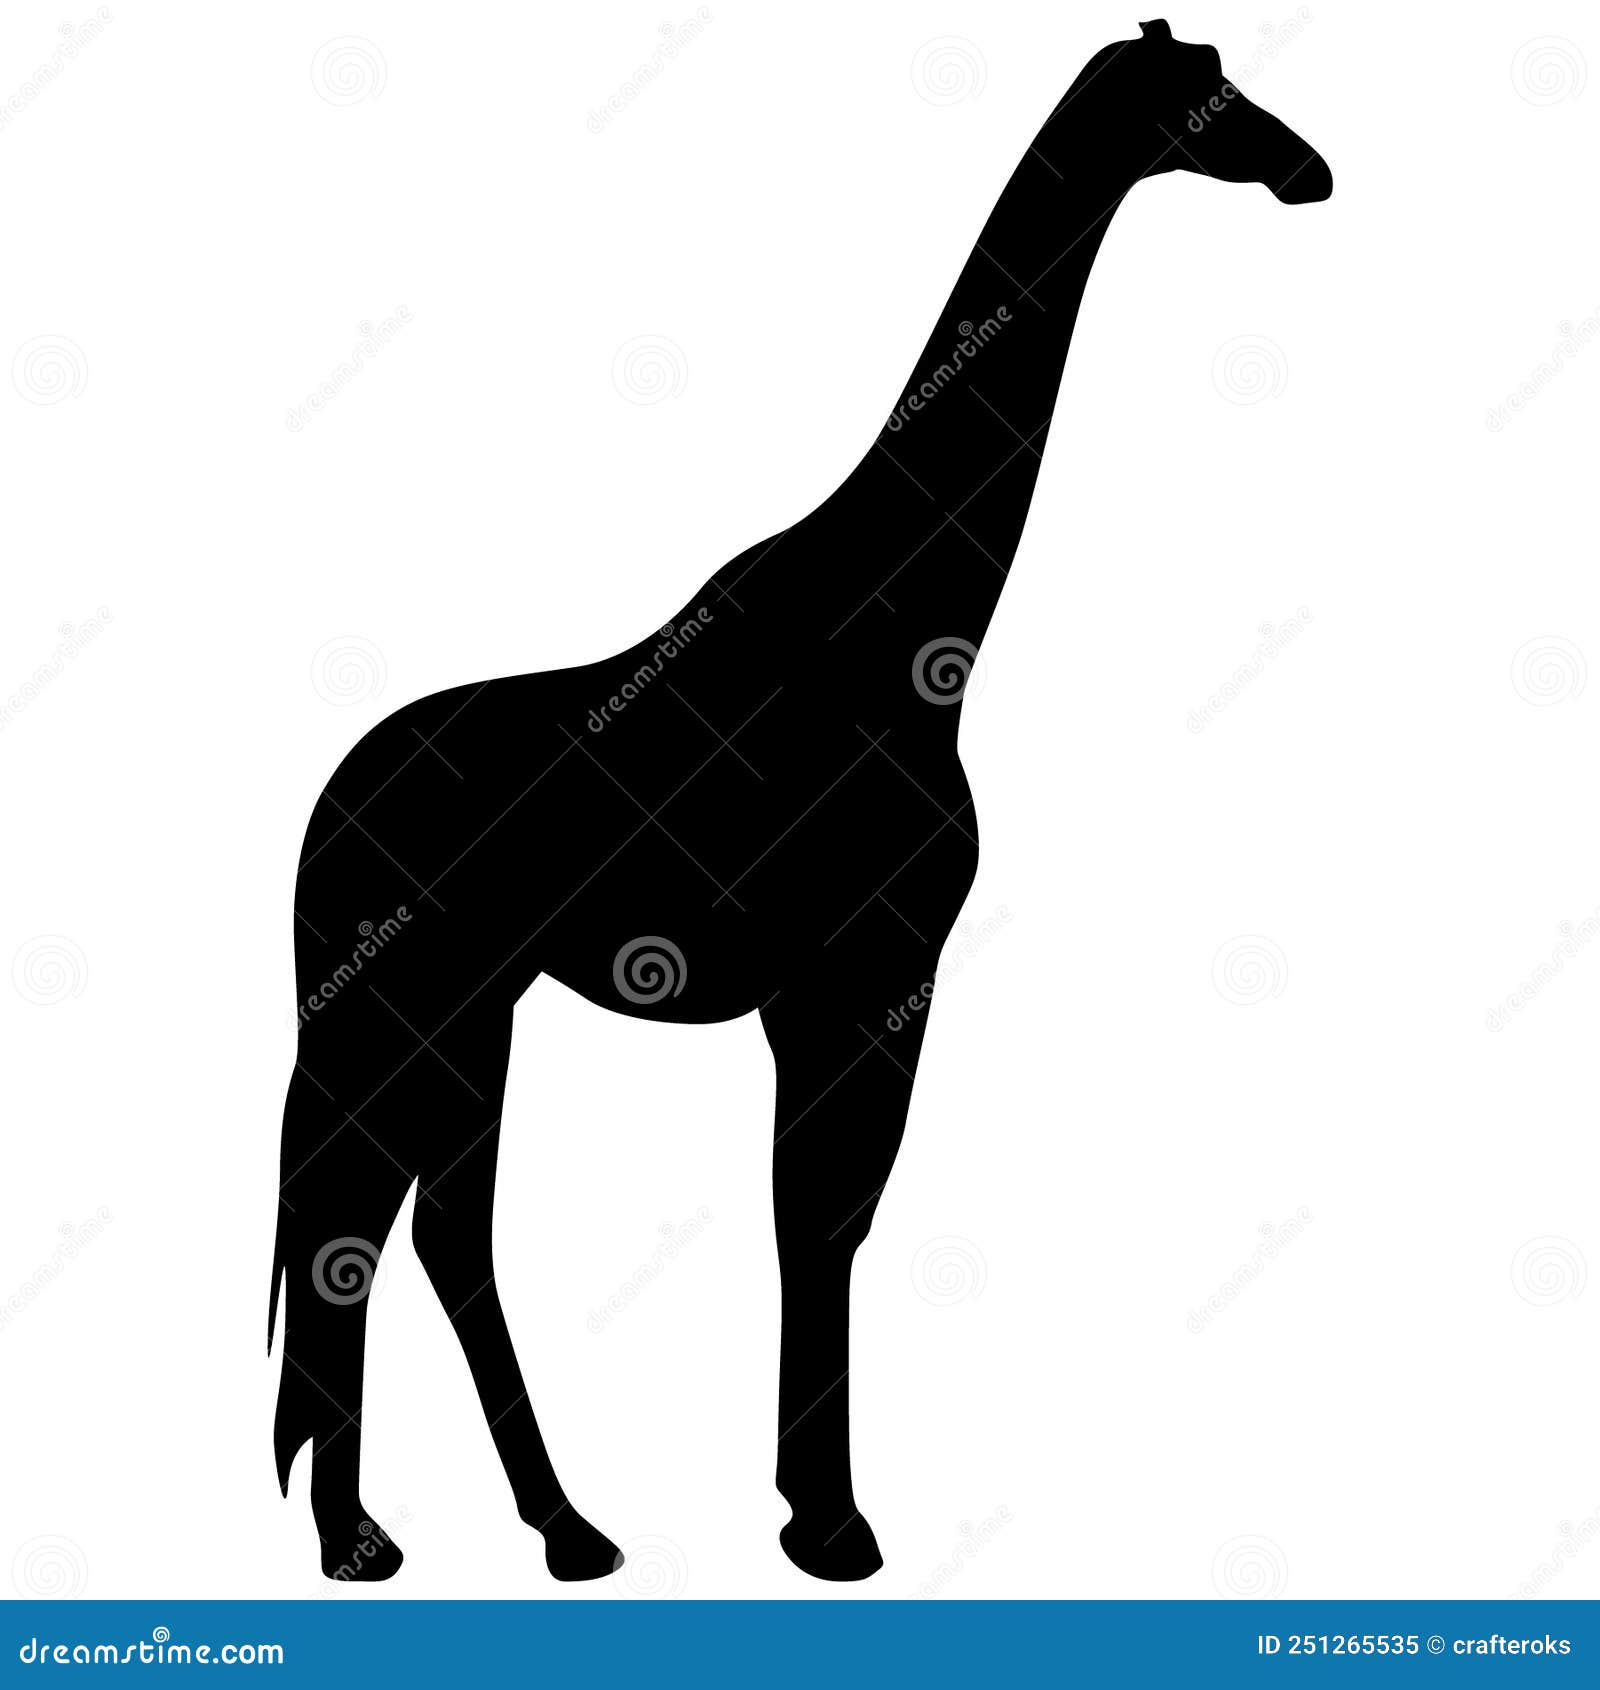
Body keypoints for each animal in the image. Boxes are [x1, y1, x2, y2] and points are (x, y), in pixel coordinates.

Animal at [270, 20, 1330, 1584]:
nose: (1309, 170)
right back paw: (380, 1540)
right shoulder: (865, 971)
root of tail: (326, 808)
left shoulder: (831, 990)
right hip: (422, 1003)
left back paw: (541, 1529)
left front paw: (804, 1507)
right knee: (365, 1228)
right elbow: (826, 1219)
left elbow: (812, 1218)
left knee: (428, 1229)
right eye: (1205, 94)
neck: (900, 634)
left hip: (473, 1008)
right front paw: (832, 1523)